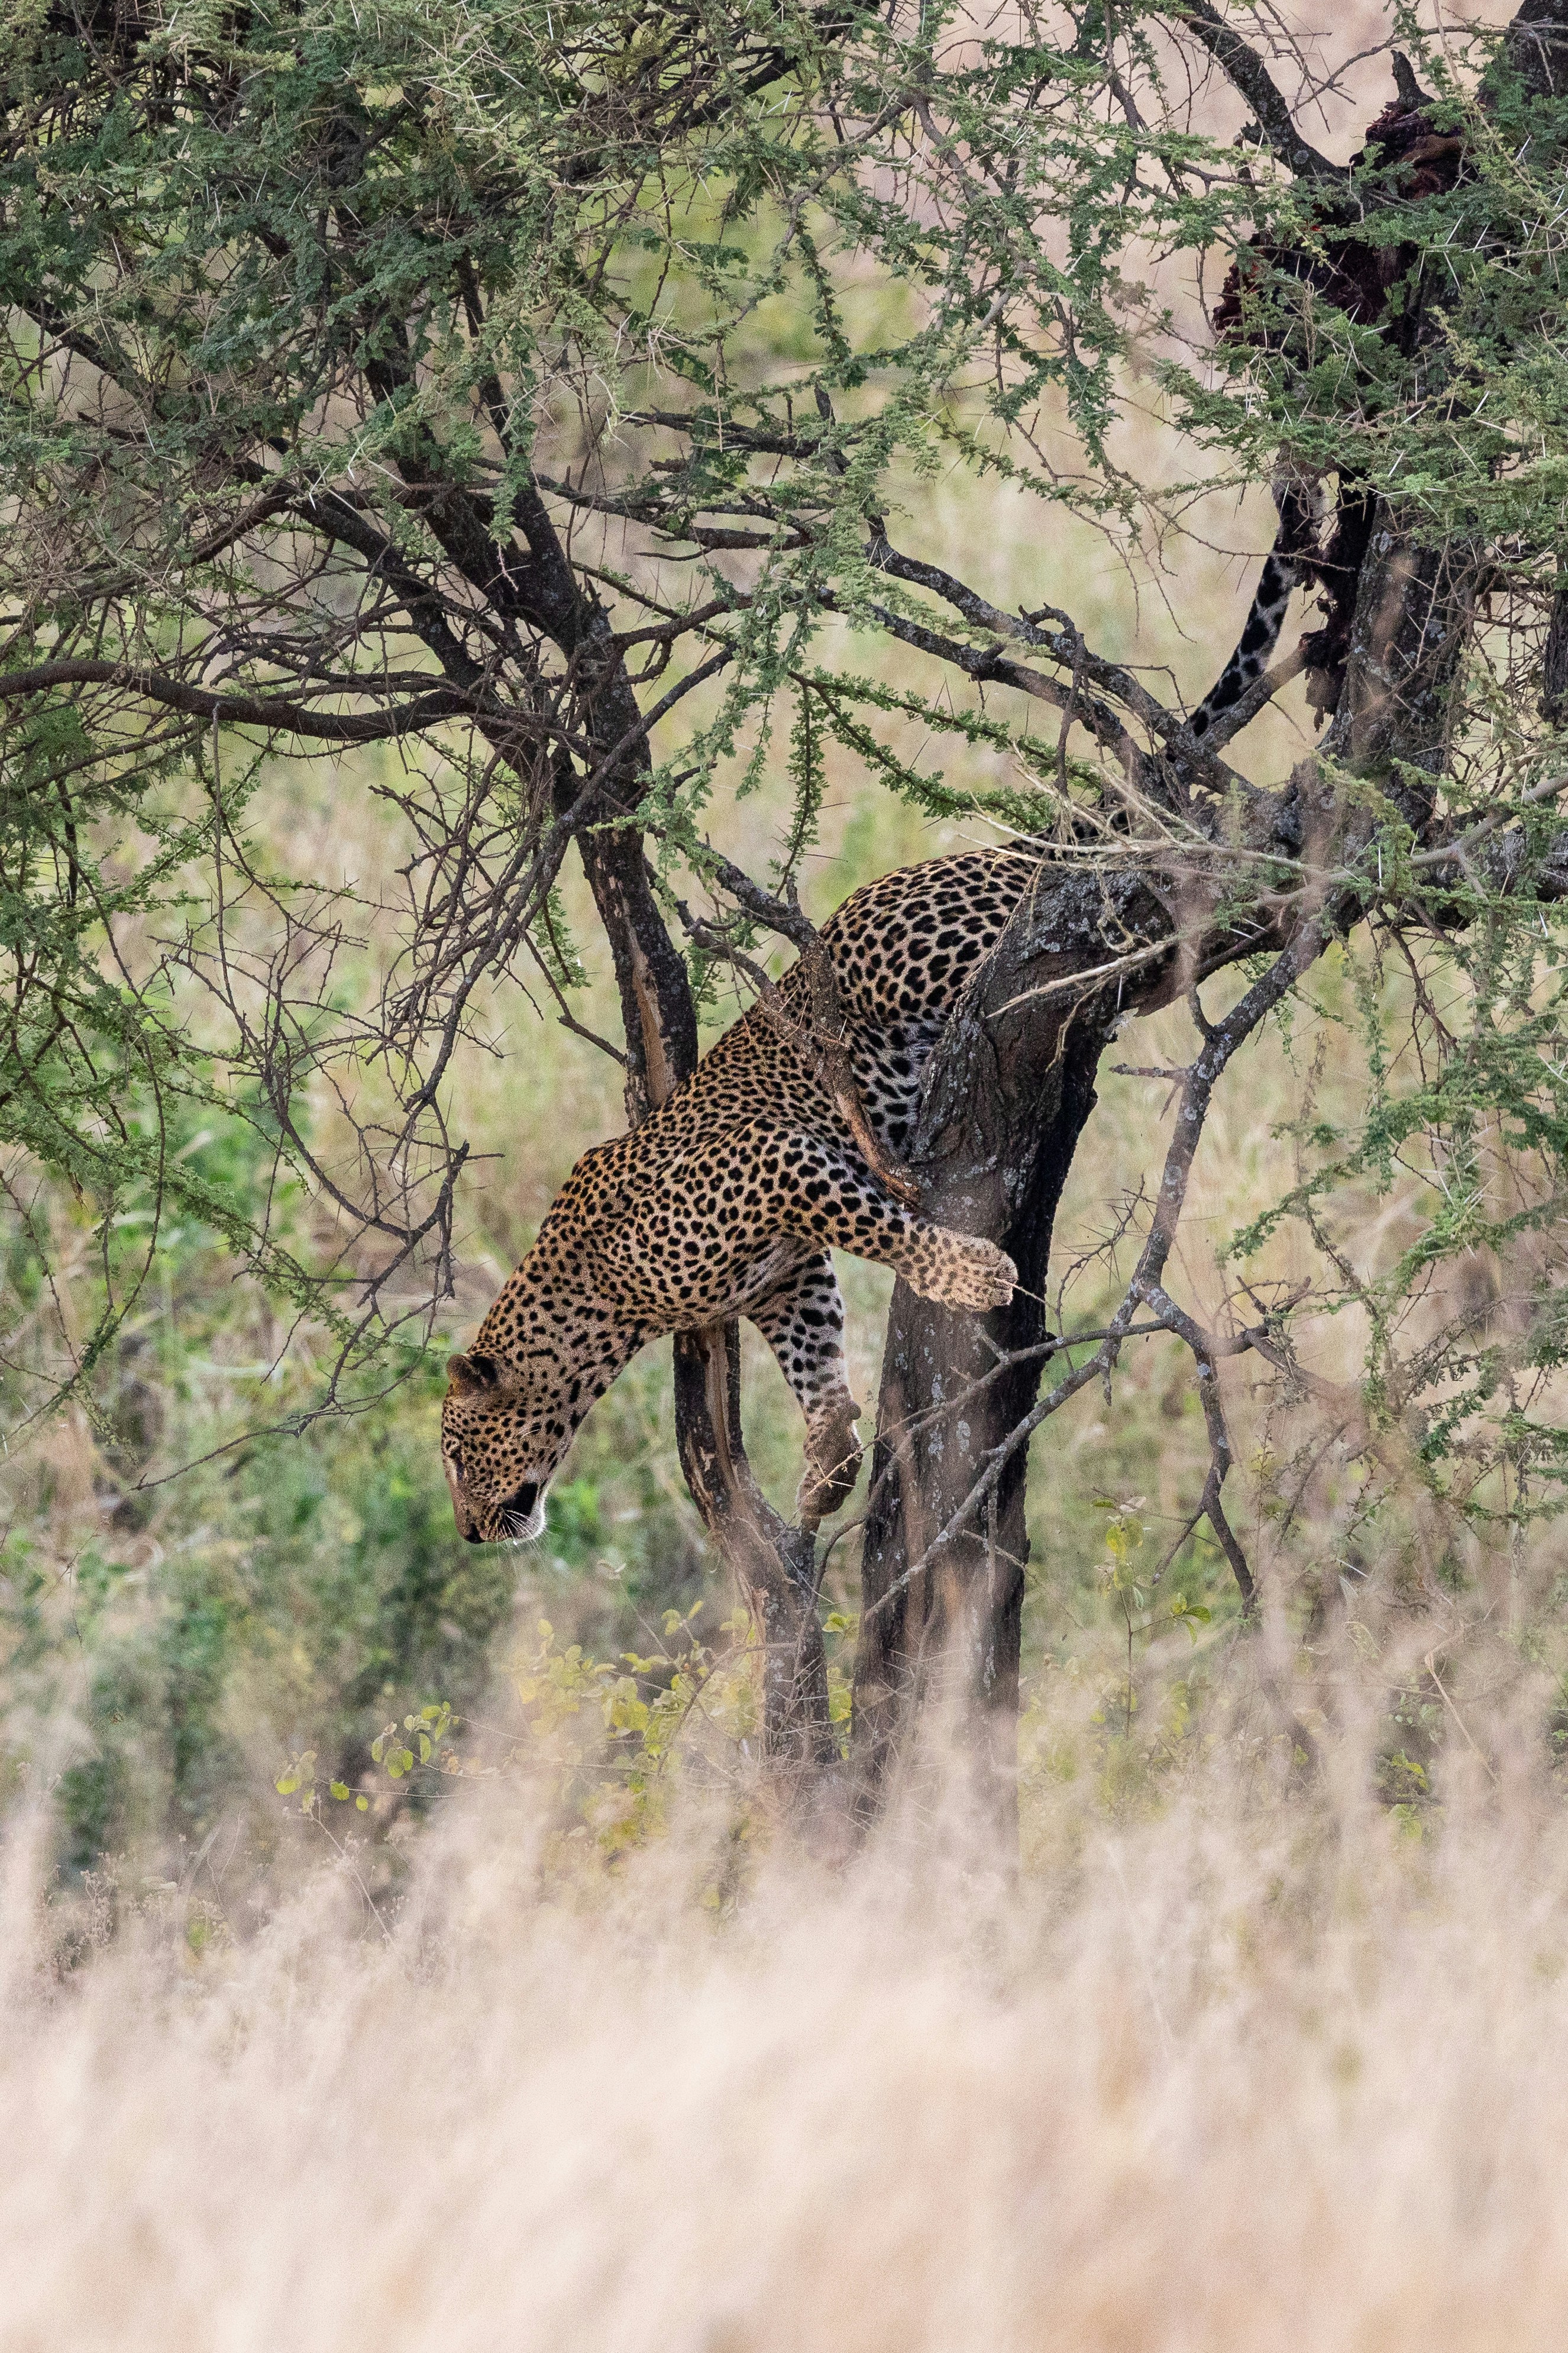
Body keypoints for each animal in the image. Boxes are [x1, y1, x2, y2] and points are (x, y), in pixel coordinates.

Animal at [443, 540, 1312, 1546]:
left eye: (457, 1456)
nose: (466, 1531)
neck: (599, 1307)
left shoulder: (774, 1159)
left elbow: (883, 1228)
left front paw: (971, 1273)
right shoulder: (779, 1266)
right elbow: (811, 1342)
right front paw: (828, 1462)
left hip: (904, 949)